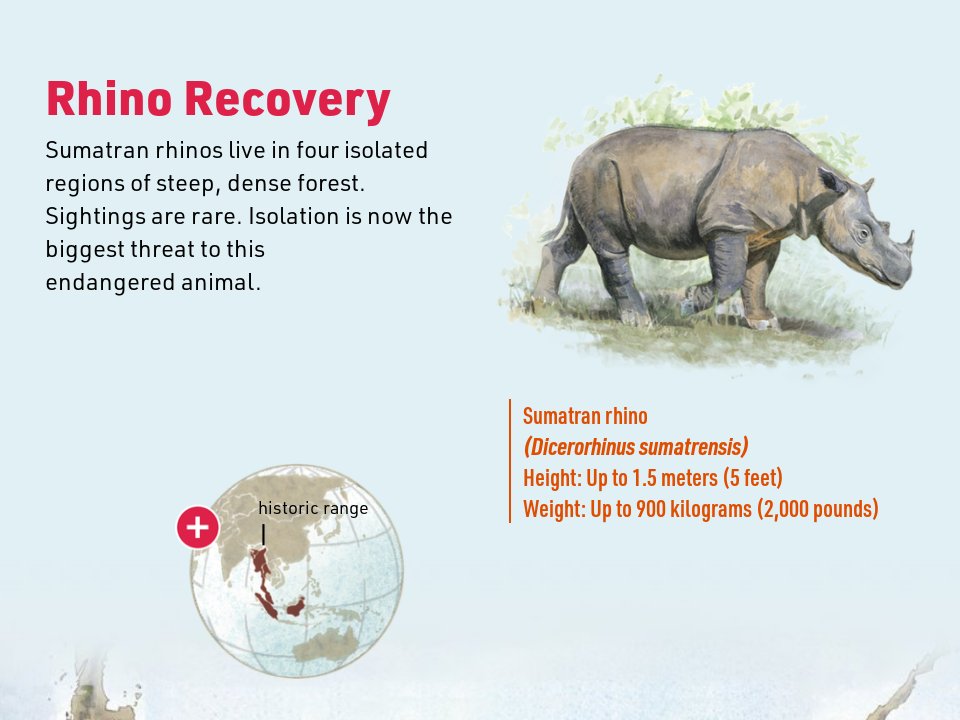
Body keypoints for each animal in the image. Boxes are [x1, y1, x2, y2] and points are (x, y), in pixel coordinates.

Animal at [533, 126, 914, 329]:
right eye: (863, 233)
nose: (904, 275)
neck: (815, 187)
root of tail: (579, 157)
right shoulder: (726, 223)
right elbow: (731, 277)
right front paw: (685, 303)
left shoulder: (766, 233)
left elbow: (756, 279)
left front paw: (764, 323)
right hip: (600, 174)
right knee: (611, 245)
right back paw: (640, 322)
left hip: (590, 176)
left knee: (576, 241)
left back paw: (544, 304)